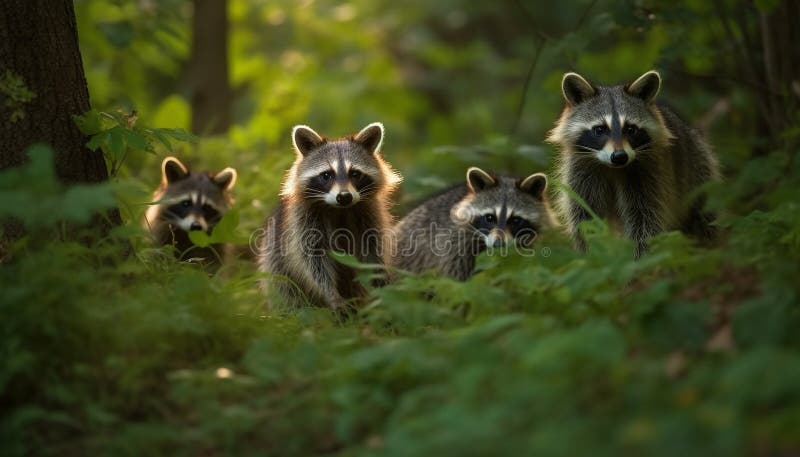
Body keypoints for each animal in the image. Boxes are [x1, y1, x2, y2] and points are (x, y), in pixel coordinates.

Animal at [257, 122, 401, 310]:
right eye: (326, 175)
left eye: (355, 174)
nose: (344, 196)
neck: (340, 208)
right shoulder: (303, 220)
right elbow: (313, 260)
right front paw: (331, 294)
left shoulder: (369, 213)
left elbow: (372, 250)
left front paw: (381, 284)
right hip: (273, 263)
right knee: (285, 287)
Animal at [547, 70, 719, 257]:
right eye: (600, 129)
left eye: (630, 129)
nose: (619, 156)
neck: (612, 168)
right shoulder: (581, 173)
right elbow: (585, 216)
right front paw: (590, 254)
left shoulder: (649, 173)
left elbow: (645, 219)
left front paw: (639, 258)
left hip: (697, 166)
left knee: (701, 213)